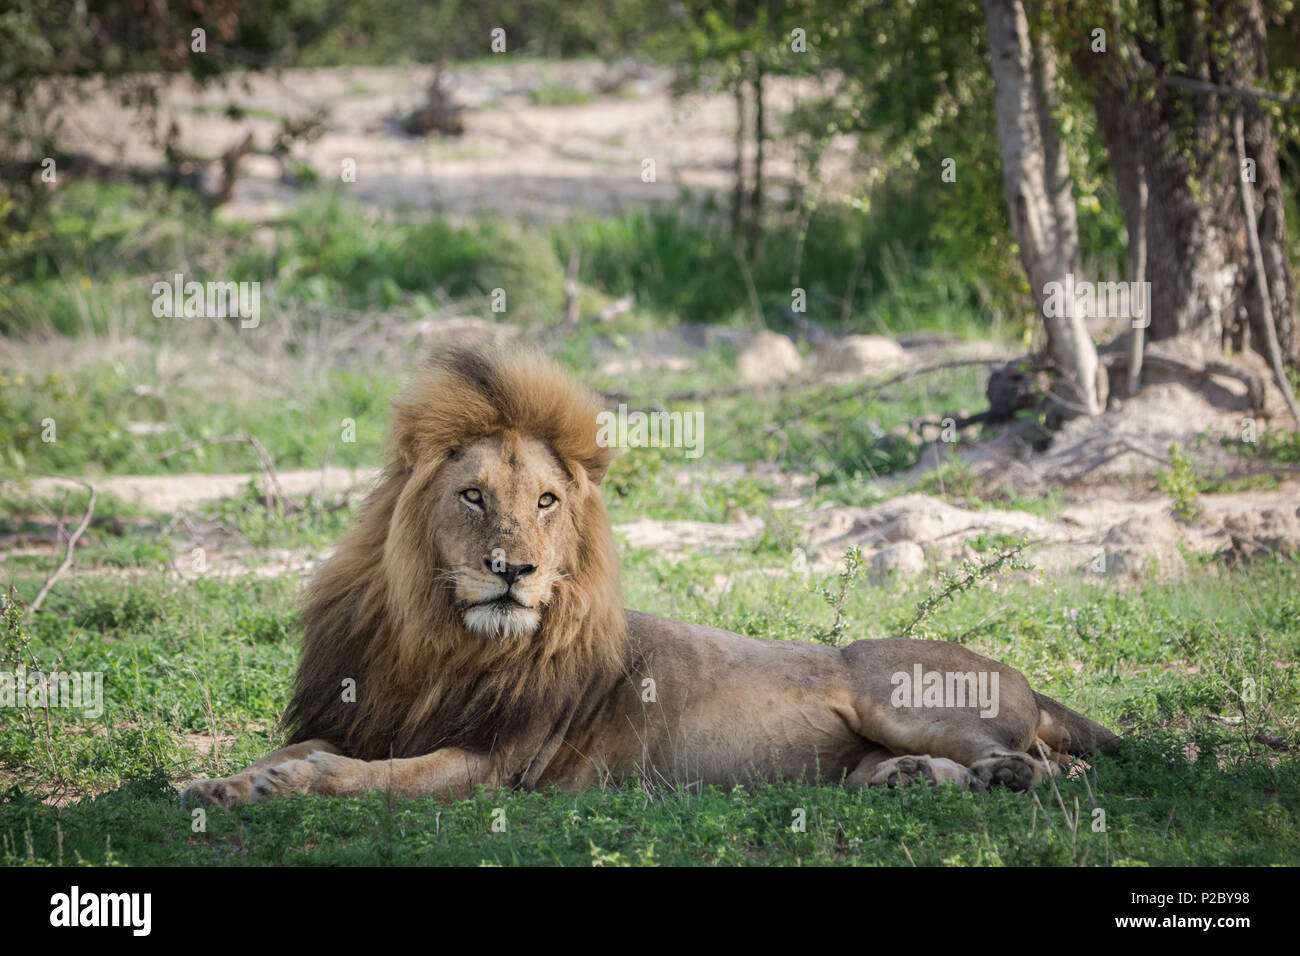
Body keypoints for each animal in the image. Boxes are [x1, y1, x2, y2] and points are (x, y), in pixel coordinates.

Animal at [181, 347, 1119, 809]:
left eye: (548, 501)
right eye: (473, 496)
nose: (513, 571)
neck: (442, 642)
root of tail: (1019, 673)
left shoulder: (495, 765)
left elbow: (362, 775)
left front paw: (287, 785)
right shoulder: (370, 712)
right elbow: (294, 746)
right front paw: (216, 782)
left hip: (898, 696)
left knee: (1047, 766)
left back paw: (998, 777)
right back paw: (911, 781)